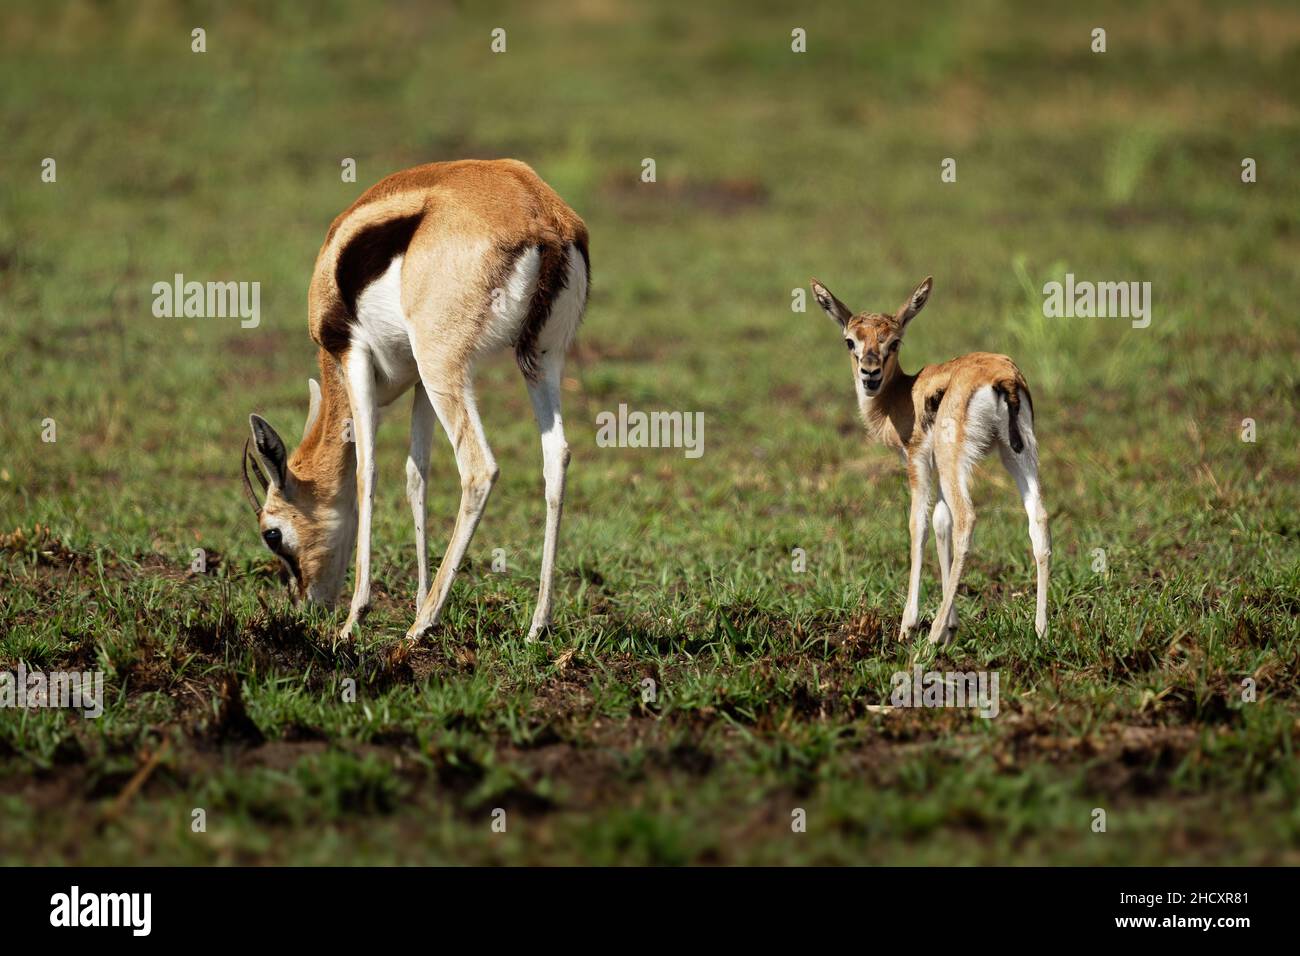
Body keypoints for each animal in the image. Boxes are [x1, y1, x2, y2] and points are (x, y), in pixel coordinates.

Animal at [241, 159, 589, 644]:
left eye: (271, 534)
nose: (306, 603)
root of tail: (541, 213)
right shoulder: (420, 382)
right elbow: (415, 474)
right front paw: (423, 598)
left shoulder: (353, 356)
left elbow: (367, 471)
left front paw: (355, 619)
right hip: (537, 358)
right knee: (557, 456)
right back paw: (535, 625)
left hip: (443, 362)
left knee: (479, 467)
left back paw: (418, 626)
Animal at [809, 275, 1050, 645]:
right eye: (850, 341)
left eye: (894, 341)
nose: (870, 374)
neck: (903, 395)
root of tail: (1003, 378)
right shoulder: (935, 468)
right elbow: (940, 522)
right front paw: (952, 625)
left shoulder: (918, 461)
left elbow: (918, 525)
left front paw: (910, 624)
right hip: (1017, 456)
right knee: (1037, 519)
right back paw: (1040, 630)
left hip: (956, 463)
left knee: (967, 518)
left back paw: (933, 633)